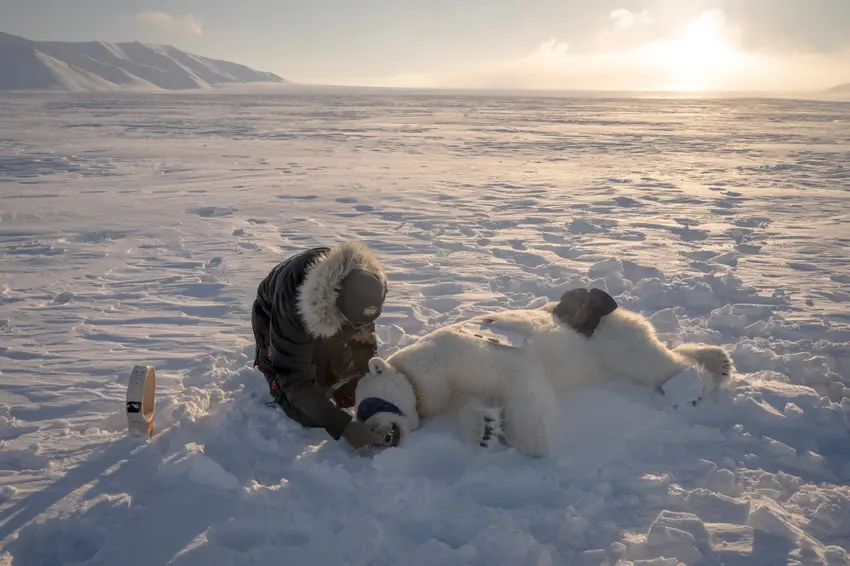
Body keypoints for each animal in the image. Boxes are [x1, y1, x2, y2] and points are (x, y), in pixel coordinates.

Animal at [354, 287, 735, 457]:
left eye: (365, 405)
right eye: (359, 415)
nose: (381, 438)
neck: (421, 376)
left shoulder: (460, 354)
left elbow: (521, 382)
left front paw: (533, 442)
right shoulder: (449, 389)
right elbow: (476, 404)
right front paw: (485, 430)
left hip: (607, 339)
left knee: (649, 362)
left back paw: (692, 385)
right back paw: (719, 360)